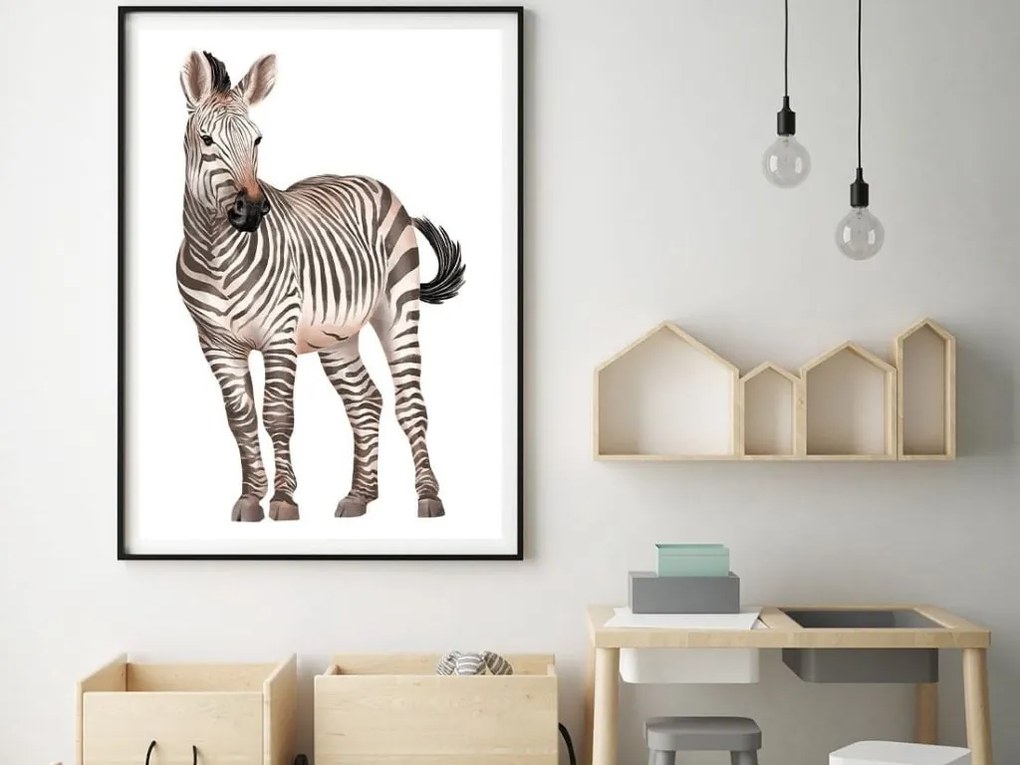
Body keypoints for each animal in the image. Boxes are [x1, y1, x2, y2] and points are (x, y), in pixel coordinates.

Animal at [176, 51, 465, 522]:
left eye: (258, 140)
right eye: (206, 140)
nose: (252, 210)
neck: (216, 251)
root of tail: (365, 178)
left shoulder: (277, 335)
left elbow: (277, 415)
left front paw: (283, 500)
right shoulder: (216, 344)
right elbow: (240, 420)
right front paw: (250, 498)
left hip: (398, 308)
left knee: (409, 402)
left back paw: (428, 497)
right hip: (337, 336)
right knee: (365, 402)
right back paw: (359, 496)